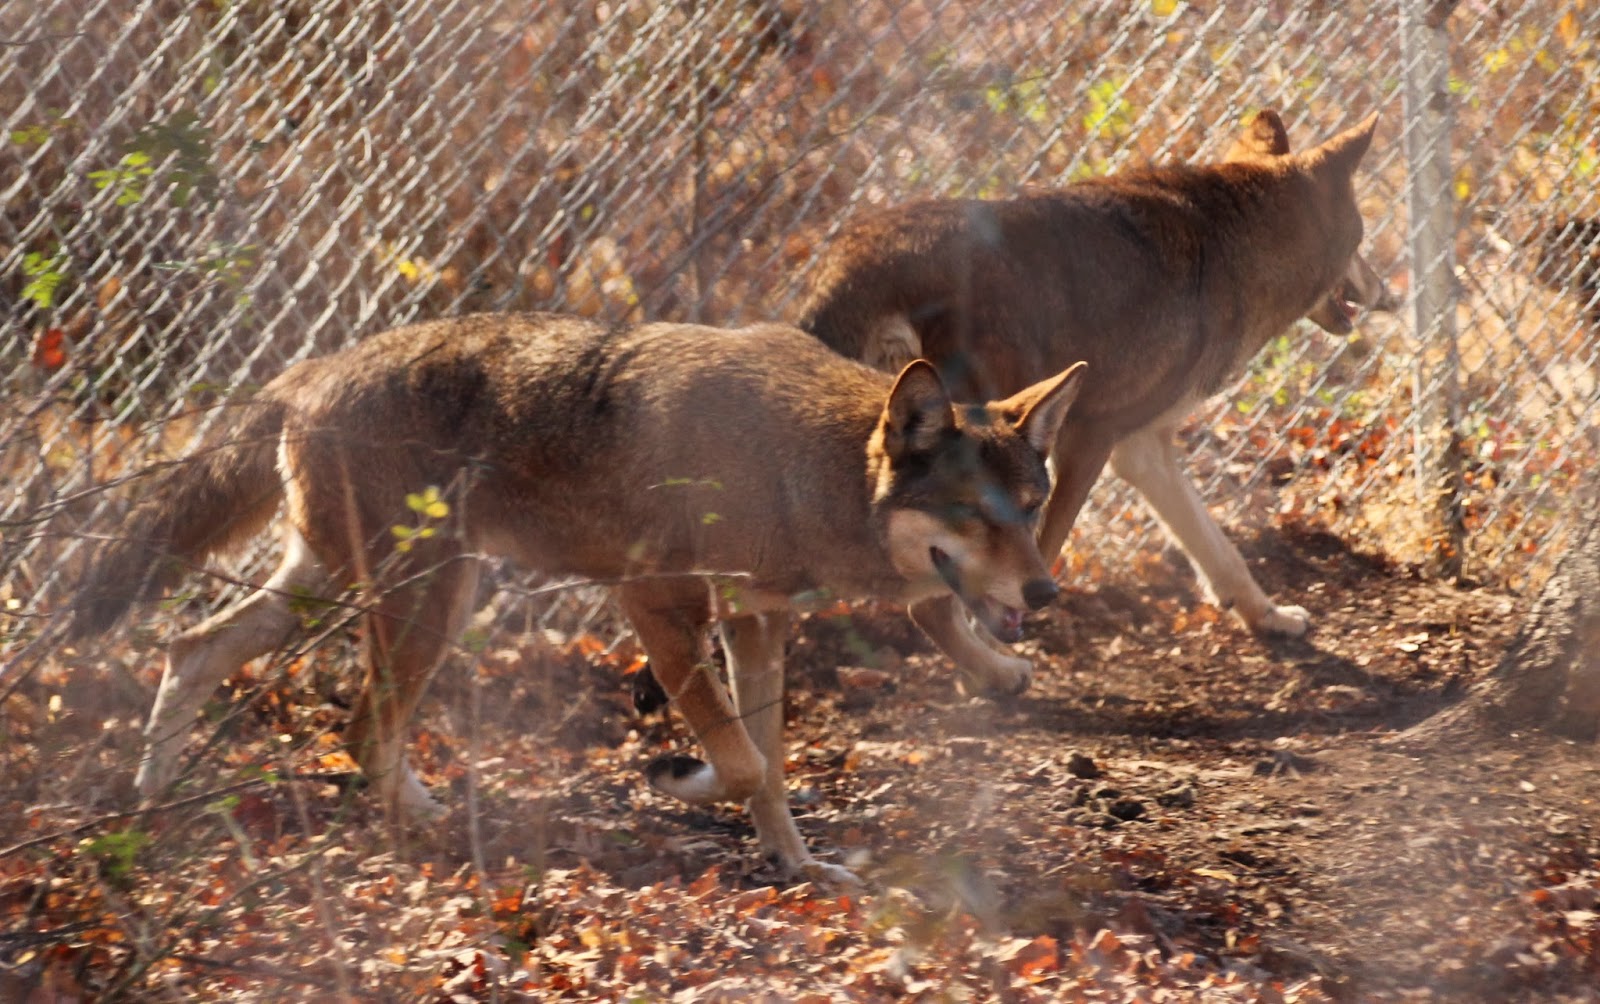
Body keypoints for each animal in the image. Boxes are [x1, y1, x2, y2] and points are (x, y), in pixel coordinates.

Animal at [67, 312, 1084, 884]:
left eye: (1031, 507)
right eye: (975, 514)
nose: (1044, 590)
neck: (799, 463)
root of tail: (306, 372)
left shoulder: (757, 620)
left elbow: (771, 766)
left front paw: (797, 865)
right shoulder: (658, 606)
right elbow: (745, 760)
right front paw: (678, 774)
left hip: (353, 587)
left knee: (196, 648)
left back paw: (154, 801)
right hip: (428, 597)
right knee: (357, 725)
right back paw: (419, 836)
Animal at [797, 109, 1396, 695]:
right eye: (1362, 241)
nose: (1389, 294)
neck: (1234, 245)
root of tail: (852, 267)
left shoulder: (1141, 449)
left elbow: (1218, 549)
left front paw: (1269, 618)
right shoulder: (1089, 440)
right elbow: (1040, 556)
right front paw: (995, 650)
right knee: (929, 607)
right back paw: (998, 674)